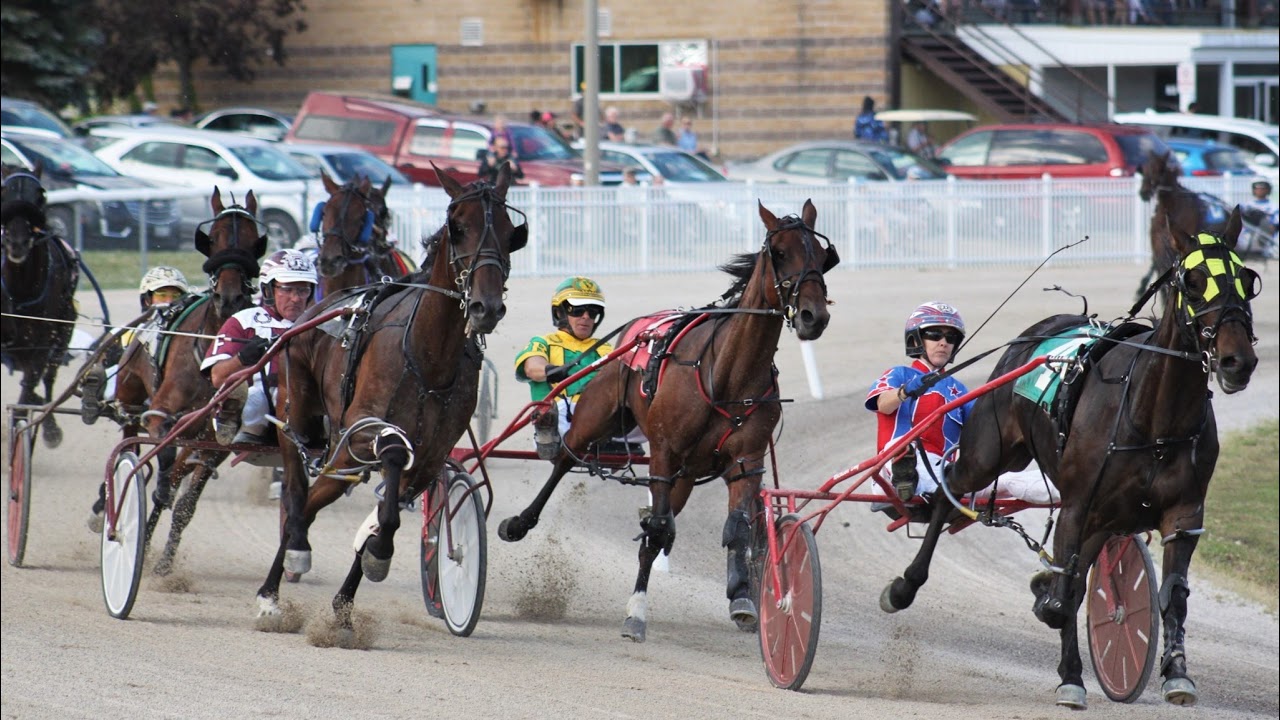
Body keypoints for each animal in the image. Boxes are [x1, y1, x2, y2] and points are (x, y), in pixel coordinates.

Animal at [1, 165, 77, 448]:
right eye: (4, 190)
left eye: (40, 194)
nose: (17, 242)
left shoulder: (44, 339)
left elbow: (32, 382)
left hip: (65, 330)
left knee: (47, 377)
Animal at [89, 188, 266, 575]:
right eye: (213, 239)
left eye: (254, 241)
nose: (229, 296)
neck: (210, 354)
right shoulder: (160, 413)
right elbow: (162, 453)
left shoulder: (215, 440)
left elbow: (185, 501)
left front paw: (165, 561)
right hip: (130, 395)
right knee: (131, 440)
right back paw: (108, 505)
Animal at [253, 163, 526, 632]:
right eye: (458, 227)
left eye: (512, 233)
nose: (486, 307)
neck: (428, 357)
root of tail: (310, 313)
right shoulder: (363, 428)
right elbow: (394, 455)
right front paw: (377, 552)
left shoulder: (432, 454)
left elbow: (389, 513)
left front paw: (348, 598)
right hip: (303, 415)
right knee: (297, 491)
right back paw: (276, 584)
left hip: (344, 453)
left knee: (318, 495)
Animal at [498, 200, 839, 642]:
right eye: (779, 253)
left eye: (823, 256)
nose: (814, 316)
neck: (726, 374)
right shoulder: (664, 450)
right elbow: (658, 527)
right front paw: (636, 615)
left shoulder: (745, 460)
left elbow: (737, 528)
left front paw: (743, 598)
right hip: (601, 417)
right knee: (566, 458)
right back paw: (522, 515)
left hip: (686, 474)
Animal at [878, 208, 1259, 709]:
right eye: (1193, 283)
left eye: (1248, 279)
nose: (1238, 361)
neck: (1154, 421)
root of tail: (1040, 329)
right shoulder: (1079, 506)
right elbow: (1065, 597)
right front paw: (1070, 675)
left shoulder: (1184, 513)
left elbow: (1170, 595)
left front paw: (1177, 674)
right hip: (989, 451)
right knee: (948, 493)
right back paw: (904, 584)